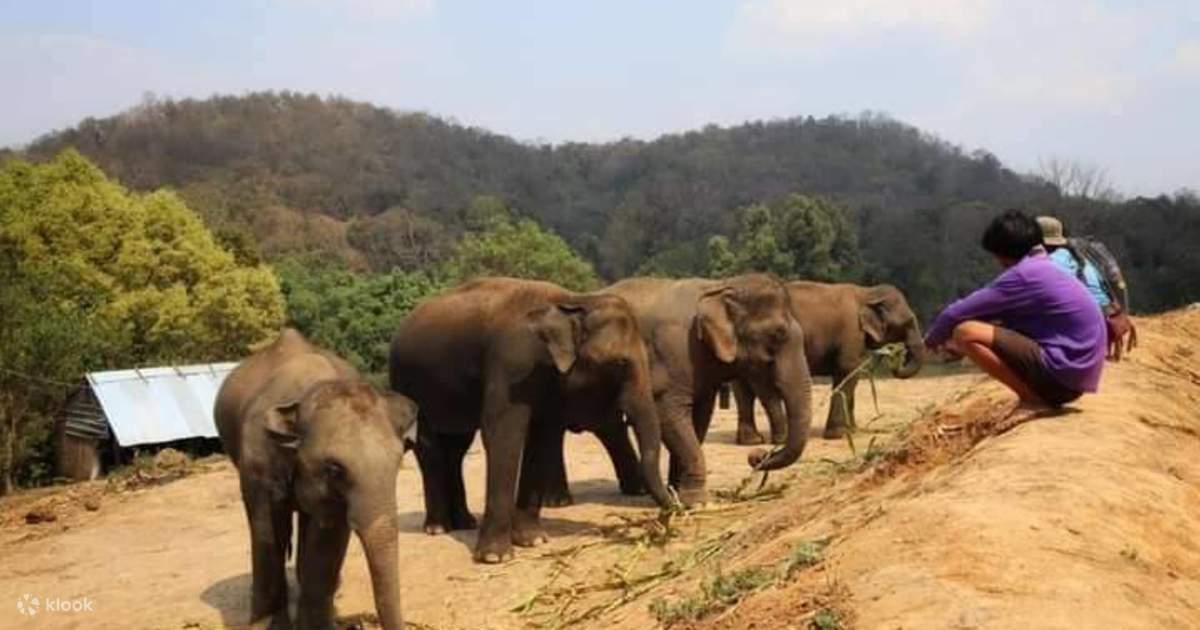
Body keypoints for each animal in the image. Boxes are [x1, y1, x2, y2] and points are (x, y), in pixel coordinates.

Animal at [214, 328, 417, 630]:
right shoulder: (257, 462)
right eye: (334, 468)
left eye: (398, 460)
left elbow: (328, 537)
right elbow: (267, 531)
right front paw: (269, 624)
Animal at [388, 277, 672, 564]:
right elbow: (503, 434)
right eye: (620, 363)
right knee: (430, 448)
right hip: (407, 383)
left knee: (456, 448)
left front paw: (532, 540)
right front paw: (495, 556)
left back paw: (465, 522)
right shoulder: (512, 364)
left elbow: (543, 437)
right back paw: (438, 527)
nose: (672, 507)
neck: (575, 300)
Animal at [552, 274, 815, 507]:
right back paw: (561, 502)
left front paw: (677, 492)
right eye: (778, 334)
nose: (757, 455)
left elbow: (699, 417)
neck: (719, 287)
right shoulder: (672, 352)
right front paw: (694, 501)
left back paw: (635, 491)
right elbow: (670, 413)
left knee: (609, 426)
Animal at [733, 282, 925, 443]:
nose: (897, 354)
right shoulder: (851, 333)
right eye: (908, 322)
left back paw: (751, 441)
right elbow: (846, 371)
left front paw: (852, 431)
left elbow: (851, 378)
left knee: (742, 389)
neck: (866, 292)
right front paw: (838, 435)